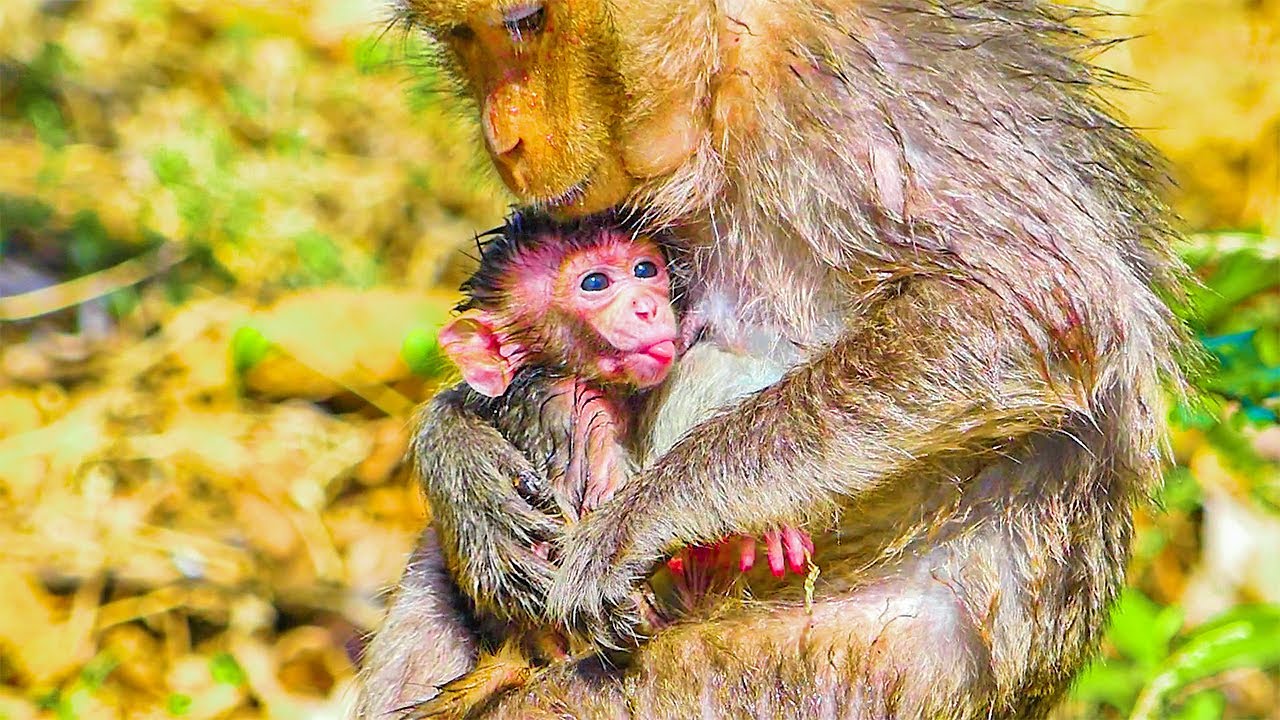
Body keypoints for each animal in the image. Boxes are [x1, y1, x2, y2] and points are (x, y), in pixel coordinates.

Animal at [355, 1, 1192, 718]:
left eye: (526, 23)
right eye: (465, 38)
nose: (506, 141)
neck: (724, 68)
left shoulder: (855, 90)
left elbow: (1032, 310)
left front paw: (638, 522)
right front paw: (458, 456)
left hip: (846, 675)